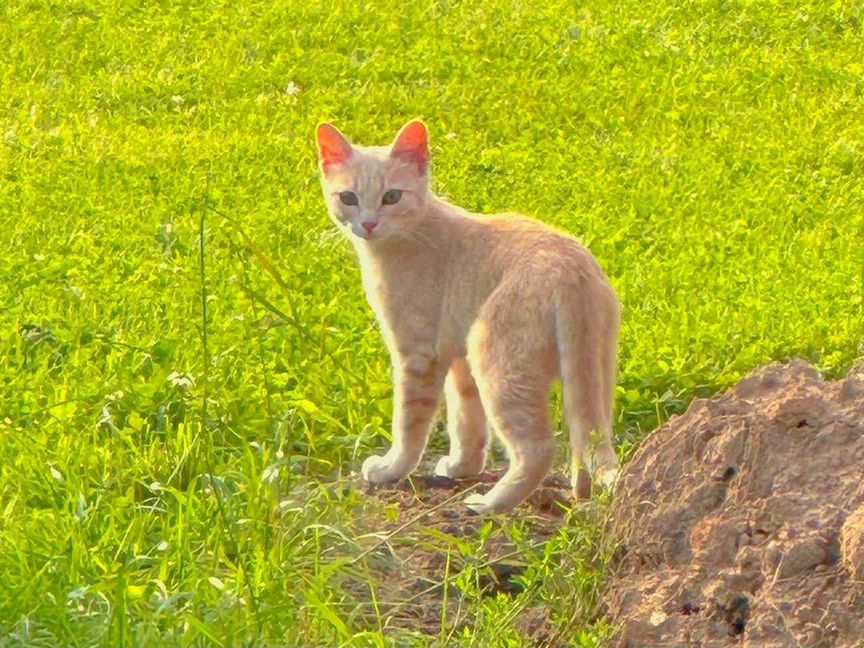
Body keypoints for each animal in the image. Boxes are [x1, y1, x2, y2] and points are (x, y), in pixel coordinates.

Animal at [318, 117, 620, 512]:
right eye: (349, 198)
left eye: (392, 197)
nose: (368, 224)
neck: (414, 234)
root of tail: (569, 269)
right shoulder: (458, 360)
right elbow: (466, 421)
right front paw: (463, 467)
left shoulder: (418, 356)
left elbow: (409, 424)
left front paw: (391, 468)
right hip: (594, 375)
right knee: (590, 438)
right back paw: (578, 490)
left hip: (496, 364)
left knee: (538, 449)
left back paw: (491, 504)